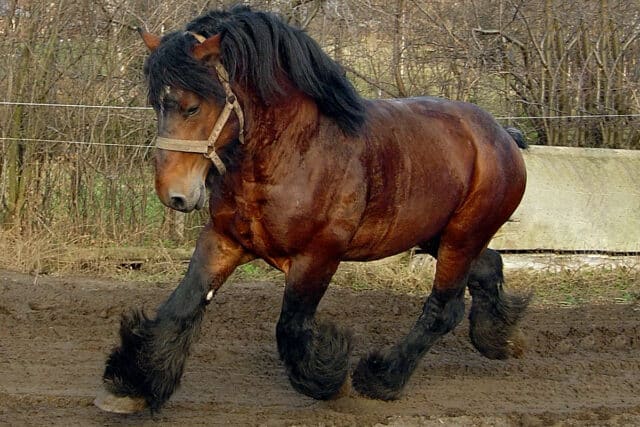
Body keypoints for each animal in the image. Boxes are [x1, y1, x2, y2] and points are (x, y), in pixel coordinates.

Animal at [95, 5, 530, 414]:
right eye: (157, 105)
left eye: (191, 107)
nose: (174, 194)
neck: (292, 154)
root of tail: (502, 135)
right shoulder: (224, 240)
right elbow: (180, 308)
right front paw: (133, 387)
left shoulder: (318, 255)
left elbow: (290, 328)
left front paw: (330, 377)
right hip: (437, 237)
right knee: (488, 268)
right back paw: (500, 338)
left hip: (461, 236)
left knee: (444, 308)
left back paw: (381, 378)